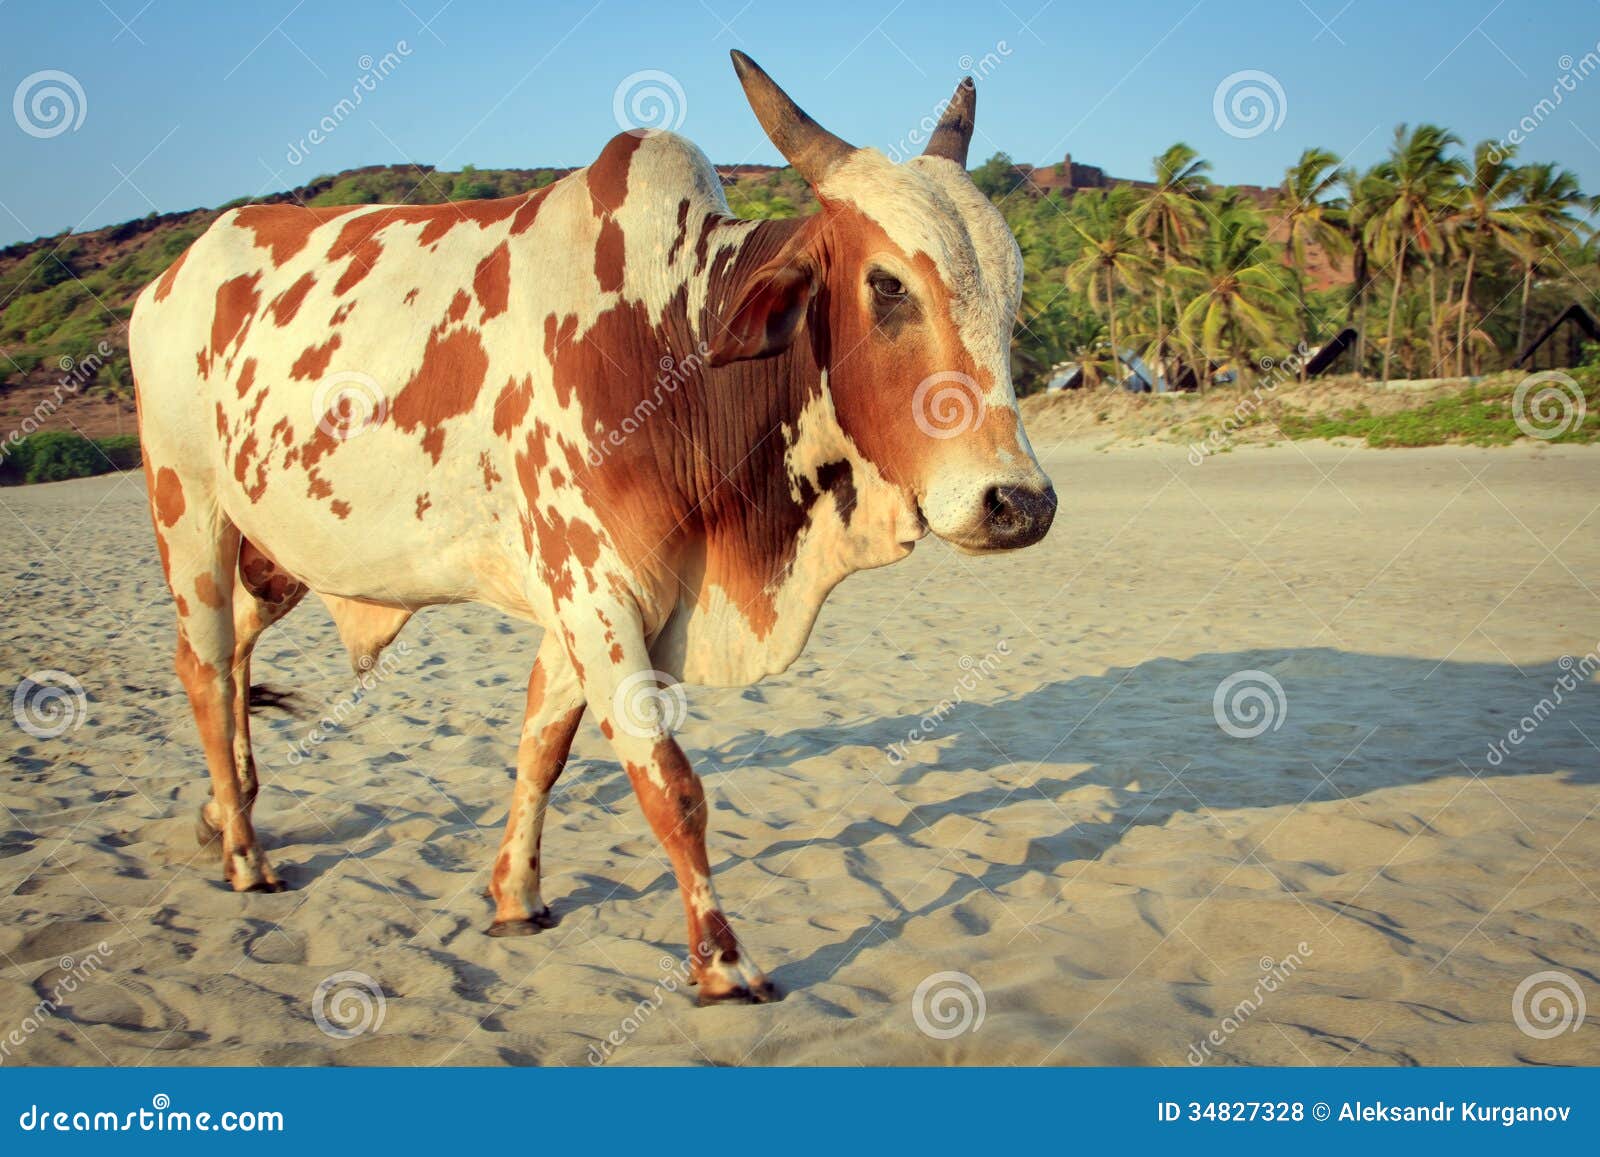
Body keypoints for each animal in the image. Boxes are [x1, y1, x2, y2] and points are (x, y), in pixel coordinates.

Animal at [130, 52, 1056, 1005]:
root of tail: (171, 276)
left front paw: (516, 895)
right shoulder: (596, 594)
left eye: (1012, 290)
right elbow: (671, 784)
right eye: (887, 284)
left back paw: (222, 810)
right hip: (189, 511)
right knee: (204, 669)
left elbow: (542, 745)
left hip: (279, 551)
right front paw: (722, 959)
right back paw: (245, 854)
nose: (1019, 502)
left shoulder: (583, 598)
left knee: (237, 651)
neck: (671, 342)